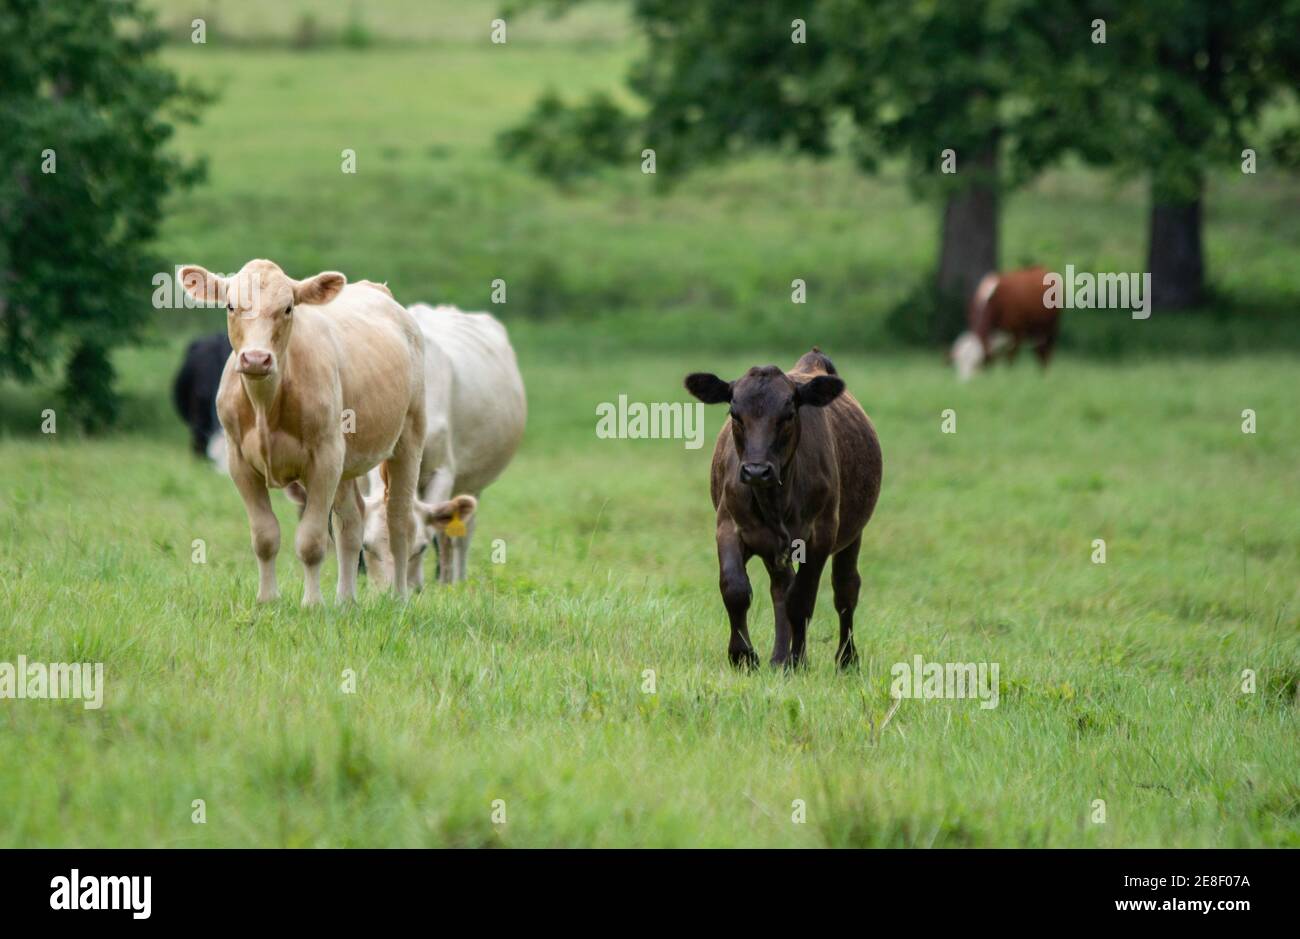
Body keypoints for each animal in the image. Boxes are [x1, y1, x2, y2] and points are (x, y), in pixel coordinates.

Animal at [178, 259, 427, 605]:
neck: (266, 405)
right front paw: (267, 599)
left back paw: (399, 597)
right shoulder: (239, 462)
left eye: (288, 308)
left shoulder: (324, 459)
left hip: (409, 438)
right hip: (347, 460)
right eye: (230, 306)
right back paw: (345, 601)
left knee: (398, 519)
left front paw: (312, 603)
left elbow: (311, 541)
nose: (256, 359)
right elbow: (265, 536)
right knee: (351, 522)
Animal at [361, 303, 526, 590]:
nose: (388, 594)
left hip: (473, 482)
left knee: (461, 534)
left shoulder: (443, 472)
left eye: (420, 548)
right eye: (367, 547)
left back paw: (454, 578)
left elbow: (441, 531)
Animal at [685, 348, 882, 670]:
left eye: (788, 415)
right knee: (780, 588)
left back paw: (845, 659)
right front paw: (743, 655)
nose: (756, 470)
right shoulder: (728, 524)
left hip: (853, 533)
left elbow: (801, 599)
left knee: (845, 589)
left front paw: (797, 661)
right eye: (734, 414)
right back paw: (778, 657)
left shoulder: (820, 534)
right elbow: (736, 589)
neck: (775, 499)